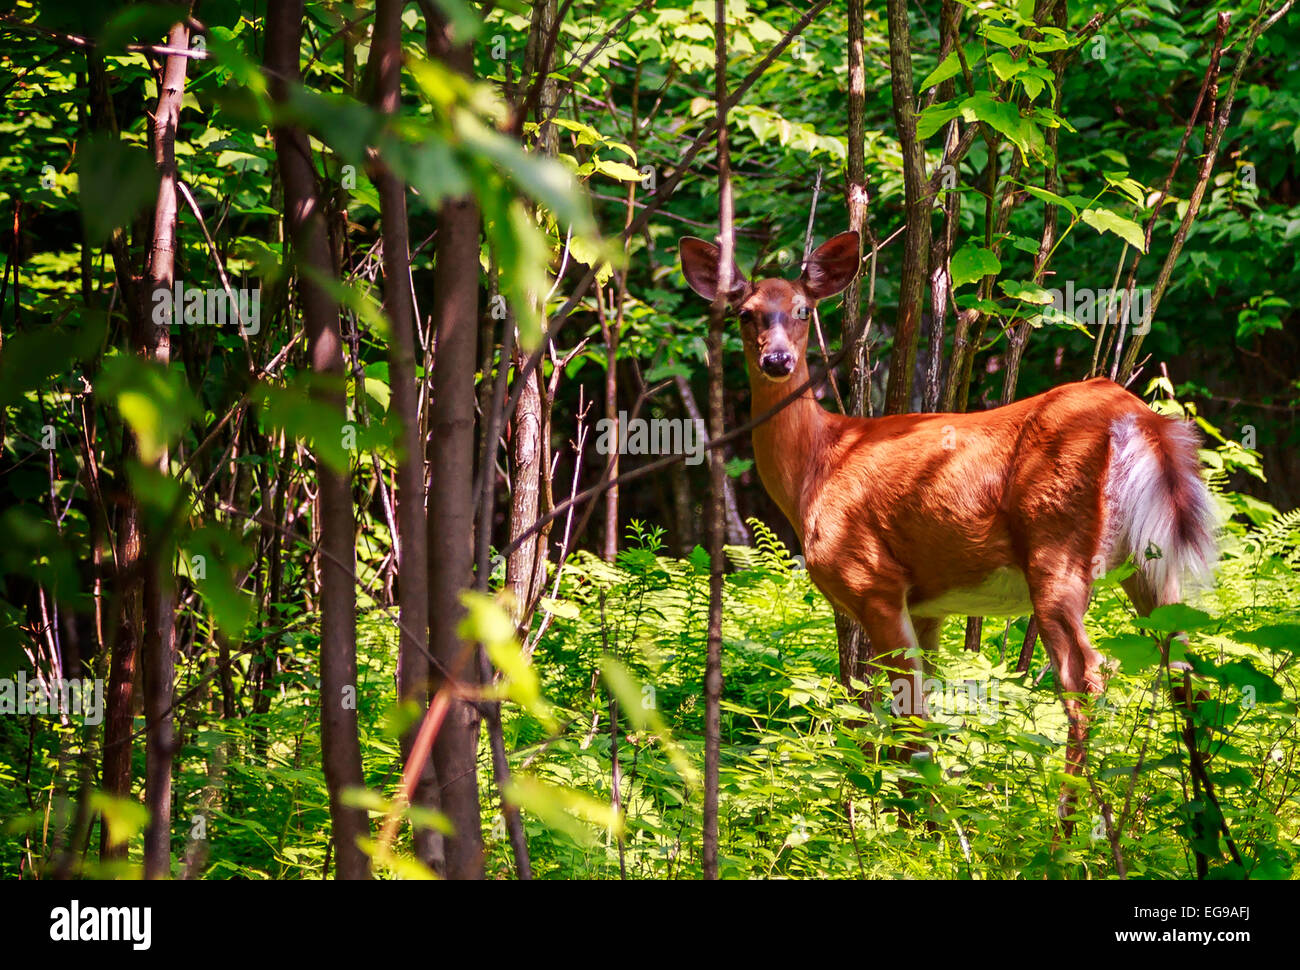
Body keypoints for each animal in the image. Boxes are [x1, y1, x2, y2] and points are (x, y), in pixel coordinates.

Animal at [679, 229, 1219, 823]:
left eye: (803, 310)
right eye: (746, 313)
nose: (776, 359)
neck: (819, 465)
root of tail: (1137, 416)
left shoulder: (873, 579)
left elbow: (909, 715)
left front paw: (916, 823)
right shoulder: (928, 603)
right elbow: (918, 710)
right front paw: (919, 817)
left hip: (1055, 544)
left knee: (1086, 676)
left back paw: (1069, 827)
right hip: (1143, 563)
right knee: (1186, 670)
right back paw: (1206, 822)